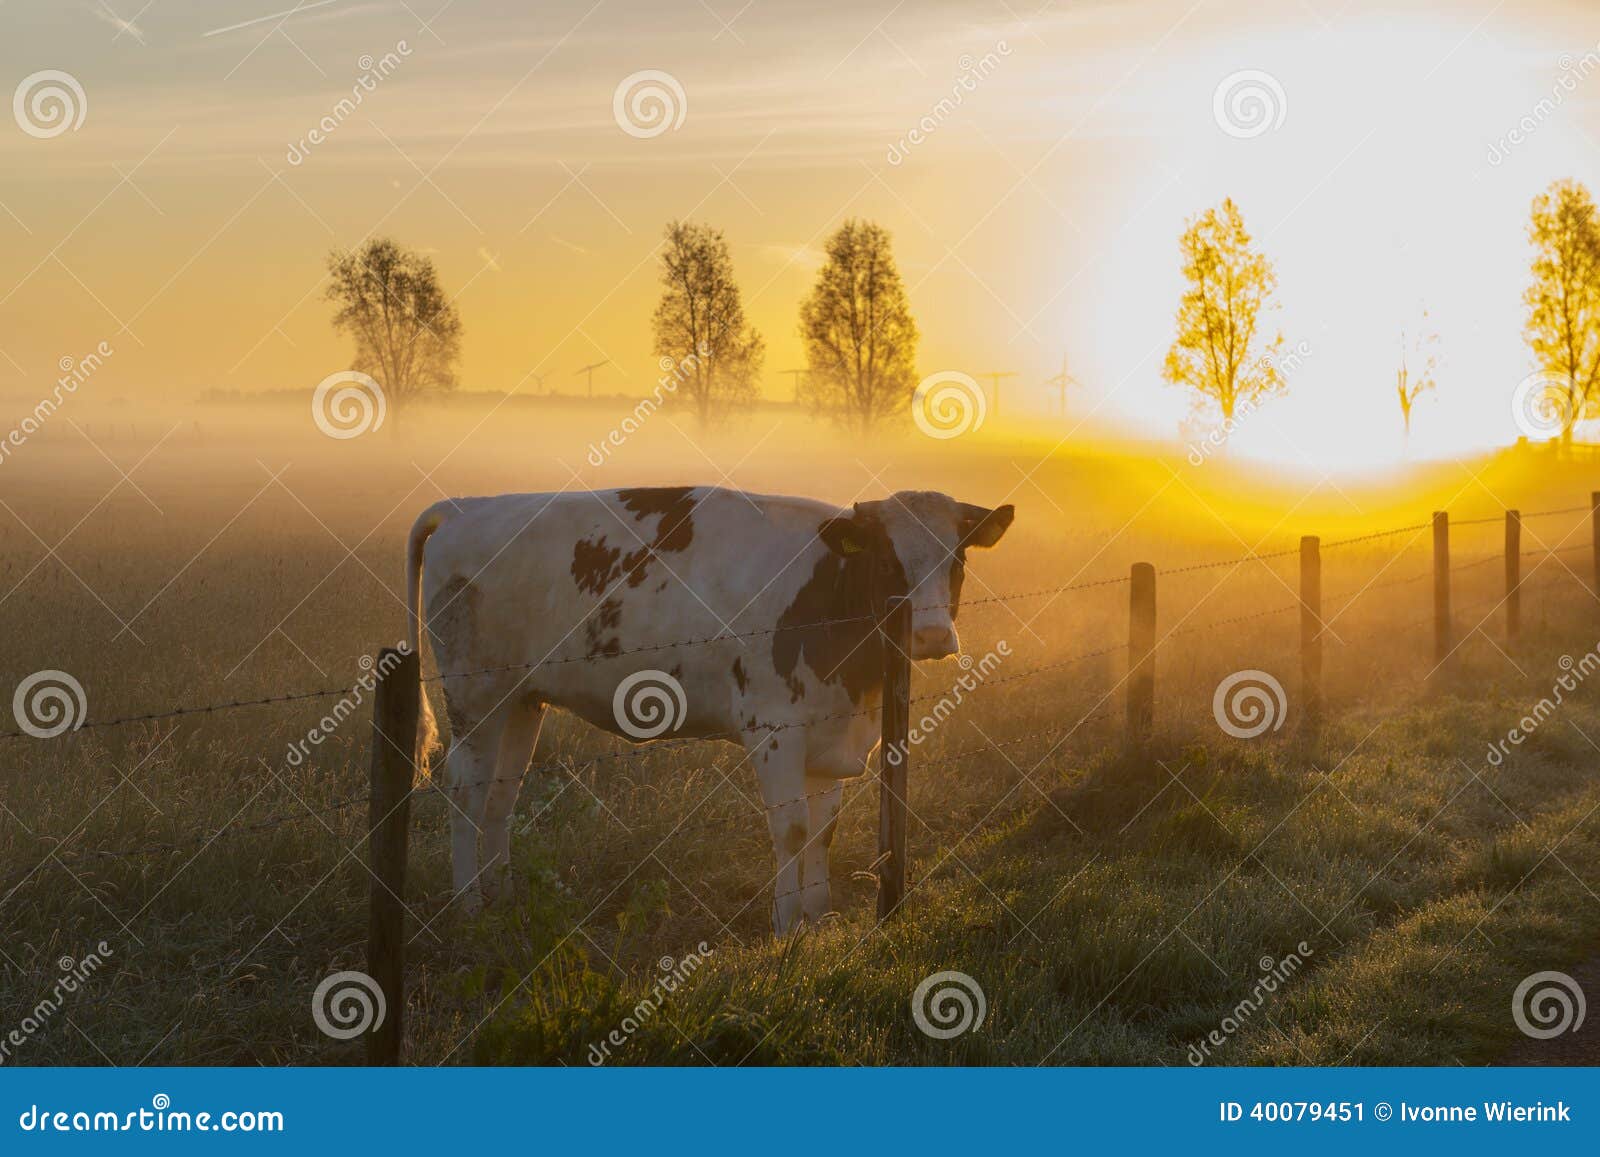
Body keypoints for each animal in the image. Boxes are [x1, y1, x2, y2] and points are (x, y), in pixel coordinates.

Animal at [405, 486, 1014, 933]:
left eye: (957, 559)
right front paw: (786, 925)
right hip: (475, 696)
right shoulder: (774, 730)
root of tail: (464, 506)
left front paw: (818, 917)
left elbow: (824, 831)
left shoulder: (831, 734)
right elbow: (792, 828)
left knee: (501, 797)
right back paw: (468, 905)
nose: (932, 636)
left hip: (521, 700)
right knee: (465, 791)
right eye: (888, 561)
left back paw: (503, 895)